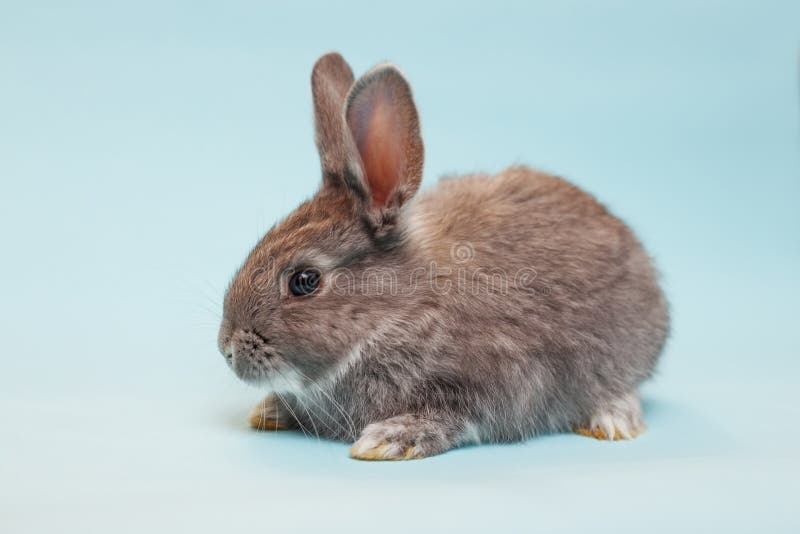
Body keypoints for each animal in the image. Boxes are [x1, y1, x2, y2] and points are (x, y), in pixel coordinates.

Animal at [217, 52, 670, 460]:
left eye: (304, 281)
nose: (227, 349)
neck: (399, 311)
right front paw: (270, 410)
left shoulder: (496, 384)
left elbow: (458, 416)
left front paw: (390, 438)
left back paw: (614, 420)